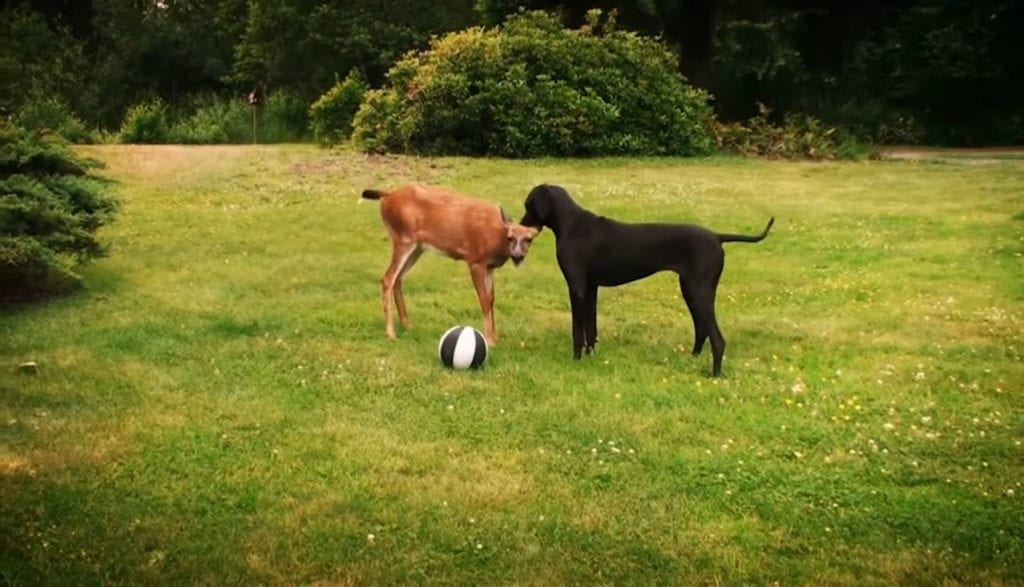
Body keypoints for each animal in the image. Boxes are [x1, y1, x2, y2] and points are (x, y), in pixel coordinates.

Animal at [361, 184, 539, 345]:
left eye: (529, 239)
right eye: (510, 237)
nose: (518, 256)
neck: (497, 236)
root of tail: (388, 195)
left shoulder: (490, 266)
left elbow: (491, 299)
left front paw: (496, 338)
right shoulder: (475, 260)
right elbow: (484, 299)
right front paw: (489, 341)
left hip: (417, 247)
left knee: (398, 278)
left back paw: (407, 324)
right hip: (403, 238)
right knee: (387, 278)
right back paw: (391, 333)